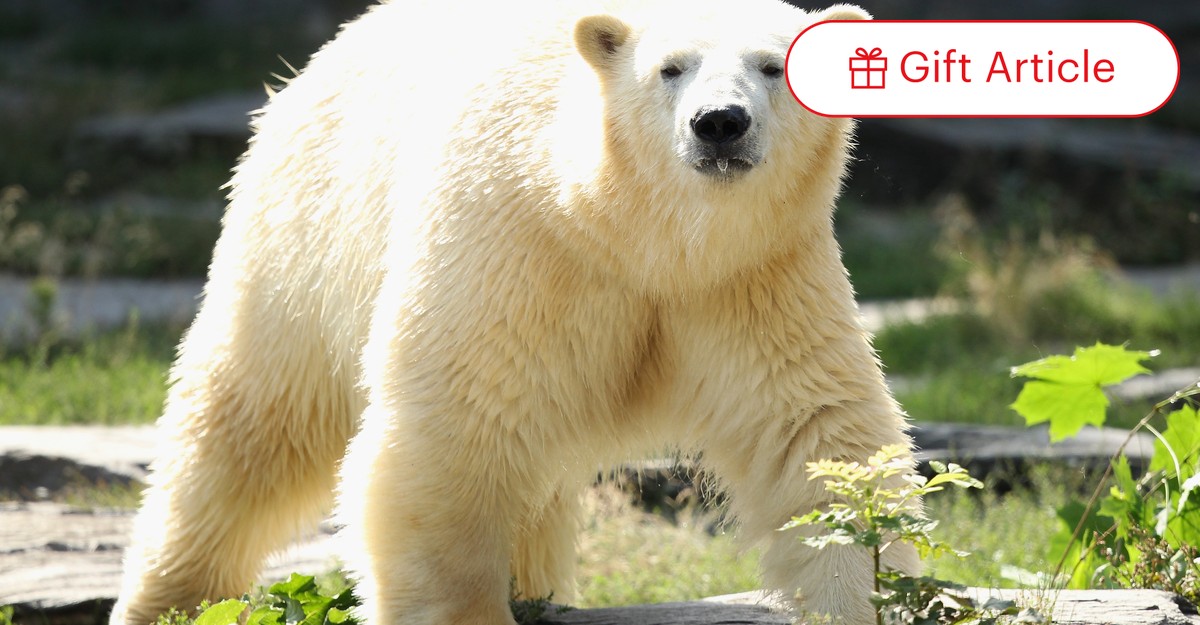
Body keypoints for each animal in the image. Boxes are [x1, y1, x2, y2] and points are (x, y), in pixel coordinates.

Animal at [109, 1, 919, 624]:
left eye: (774, 66)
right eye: (670, 67)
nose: (720, 123)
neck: (636, 233)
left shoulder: (754, 276)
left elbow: (816, 437)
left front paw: (868, 596)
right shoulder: (518, 249)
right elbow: (460, 427)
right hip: (304, 228)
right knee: (249, 423)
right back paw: (166, 596)